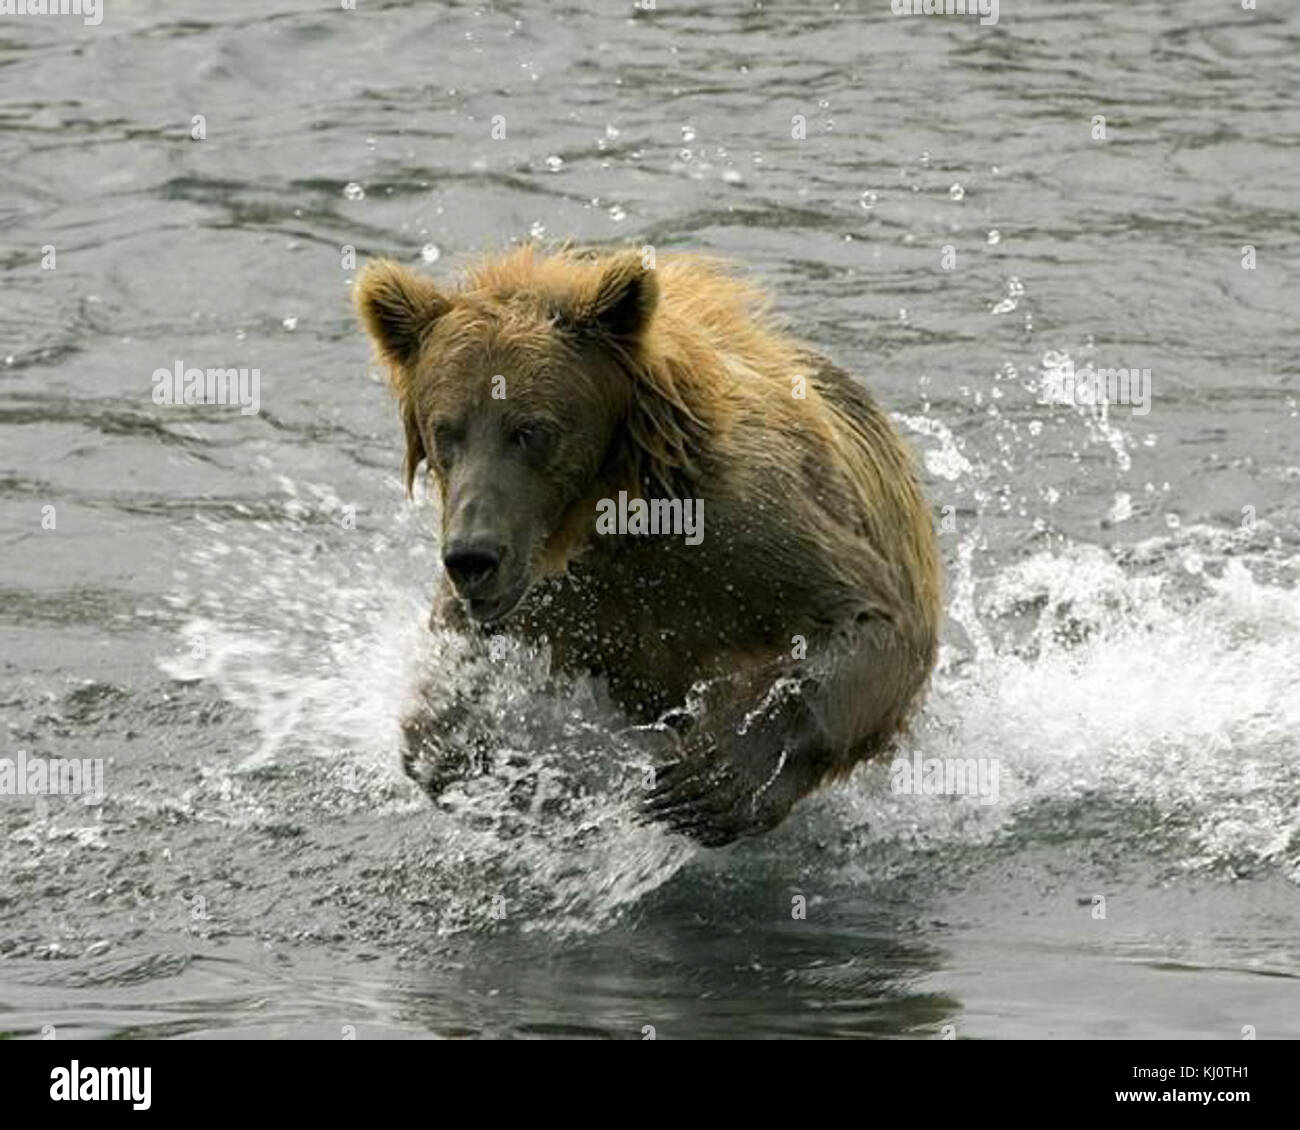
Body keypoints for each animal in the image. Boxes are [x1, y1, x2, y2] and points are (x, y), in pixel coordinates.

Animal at [355, 245, 942, 846]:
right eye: (446, 429)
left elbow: (869, 620)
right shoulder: (544, 595)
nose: (473, 557)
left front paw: (713, 779)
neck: (609, 514)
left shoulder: (746, 528)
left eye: (531, 430)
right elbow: (446, 694)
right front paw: (513, 776)